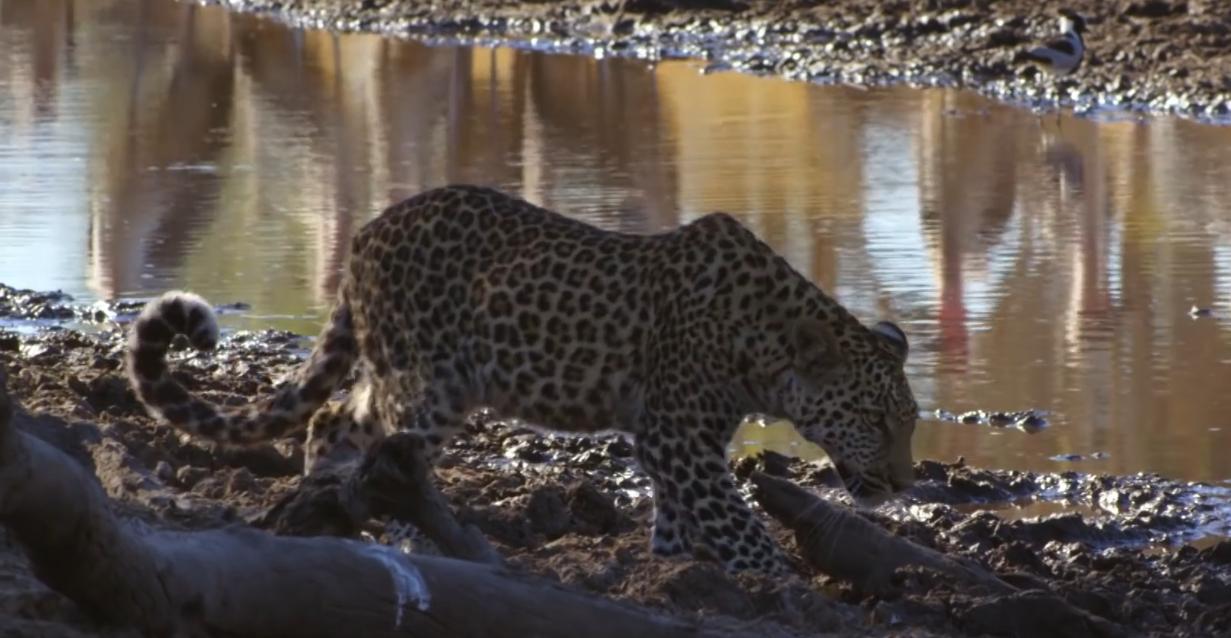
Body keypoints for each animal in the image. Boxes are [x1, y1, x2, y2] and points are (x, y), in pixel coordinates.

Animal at [126, 184, 918, 572]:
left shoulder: (680, 441)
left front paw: (674, 571)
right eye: (876, 422)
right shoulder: (676, 435)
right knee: (385, 444)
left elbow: (680, 515)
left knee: (335, 419)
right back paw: (400, 533)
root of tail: (364, 234)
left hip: (404, 373)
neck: (766, 345)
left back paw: (331, 510)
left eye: (909, 425)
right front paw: (772, 580)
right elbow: (734, 521)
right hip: (430, 382)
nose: (903, 481)